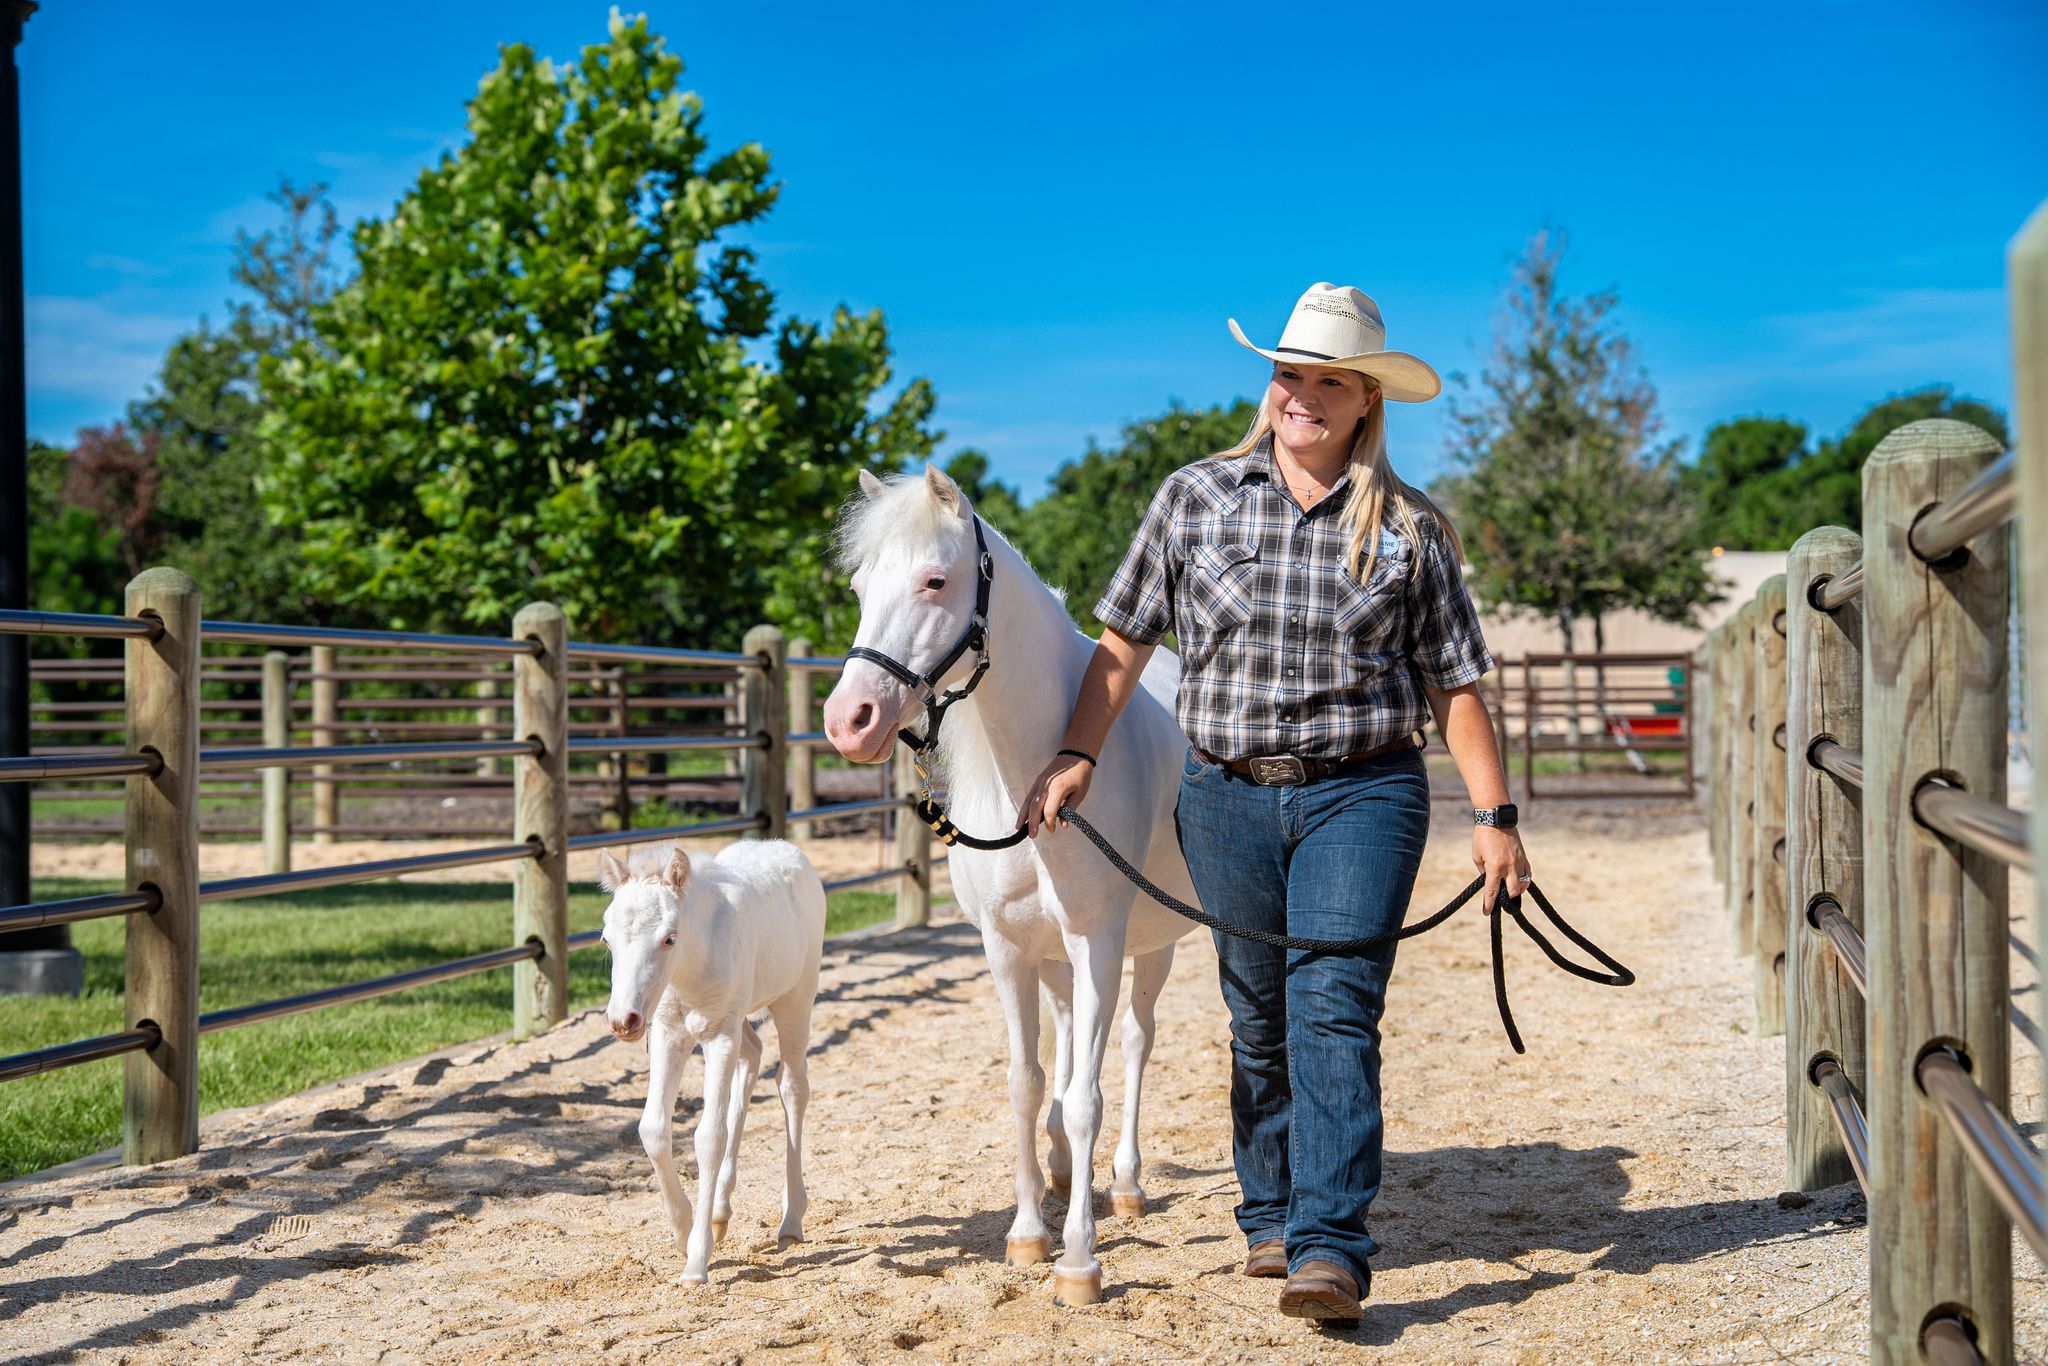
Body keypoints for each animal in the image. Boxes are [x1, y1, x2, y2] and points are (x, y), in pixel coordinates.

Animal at [597, 840, 826, 1285]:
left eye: (669, 938)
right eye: (607, 939)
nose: (623, 1020)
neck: (692, 966)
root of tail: (790, 851)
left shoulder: (718, 1037)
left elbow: (709, 1137)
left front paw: (696, 1262)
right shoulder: (669, 1034)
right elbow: (653, 1129)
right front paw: (683, 1229)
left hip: (795, 998)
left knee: (792, 1086)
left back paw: (791, 1219)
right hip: (739, 1017)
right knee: (752, 1055)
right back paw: (721, 1212)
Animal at [822, 464, 1200, 1304]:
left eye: (936, 580)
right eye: (858, 587)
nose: (849, 720)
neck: (1042, 775)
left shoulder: (1098, 942)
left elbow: (1089, 1095)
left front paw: (1080, 1261)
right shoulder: (1007, 950)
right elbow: (1028, 1084)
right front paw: (1029, 1233)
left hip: (1157, 944)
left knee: (1136, 1041)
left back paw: (1126, 1185)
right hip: (1055, 958)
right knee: (1070, 1043)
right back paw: (1063, 1173)